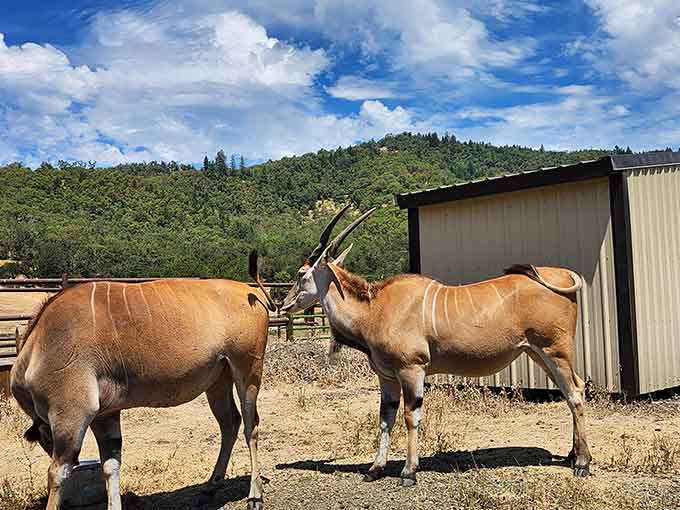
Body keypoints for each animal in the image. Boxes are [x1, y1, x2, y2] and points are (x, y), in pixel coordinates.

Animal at [10, 252, 275, 510]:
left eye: (46, 440)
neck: (40, 344)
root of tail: (252, 292)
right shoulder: (105, 415)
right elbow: (111, 465)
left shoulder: (72, 414)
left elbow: (58, 473)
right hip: (219, 380)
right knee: (230, 423)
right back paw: (210, 488)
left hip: (248, 370)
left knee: (251, 425)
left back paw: (255, 495)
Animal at [280, 205, 591, 486]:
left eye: (301, 274)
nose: (284, 304)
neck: (375, 309)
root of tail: (564, 274)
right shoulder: (387, 377)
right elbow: (385, 418)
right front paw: (375, 469)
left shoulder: (412, 370)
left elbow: (411, 416)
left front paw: (408, 472)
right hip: (539, 354)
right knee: (570, 391)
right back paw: (572, 455)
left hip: (554, 351)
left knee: (575, 393)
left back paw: (582, 463)